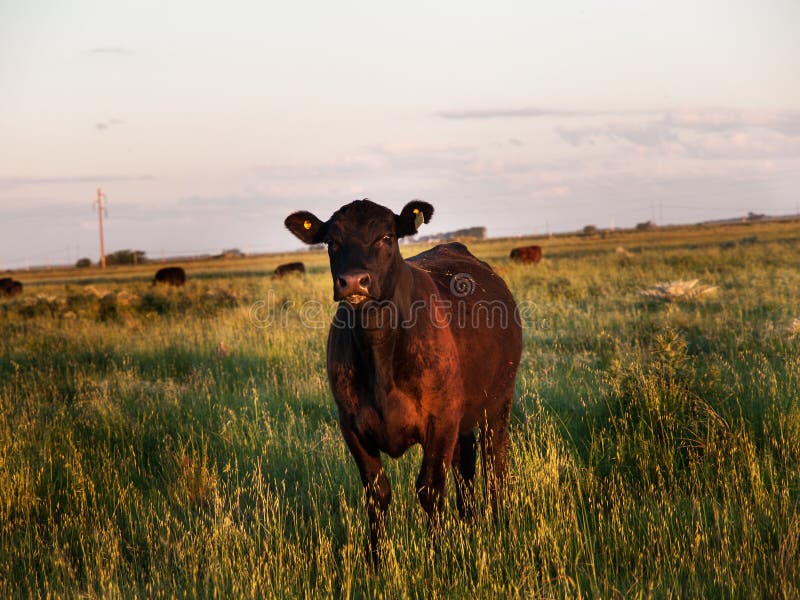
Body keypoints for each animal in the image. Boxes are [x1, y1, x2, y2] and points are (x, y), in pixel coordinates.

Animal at [285, 199, 522, 565]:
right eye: (331, 241)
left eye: (387, 237)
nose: (353, 281)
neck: (380, 351)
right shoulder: (351, 425)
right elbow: (376, 493)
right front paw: (376, 560)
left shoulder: (440, 421)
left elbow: (430, 489)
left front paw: (437, 556)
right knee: (466, 462)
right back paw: (469, 521)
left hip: (497, 402)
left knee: (494, 461)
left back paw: (496, 522)